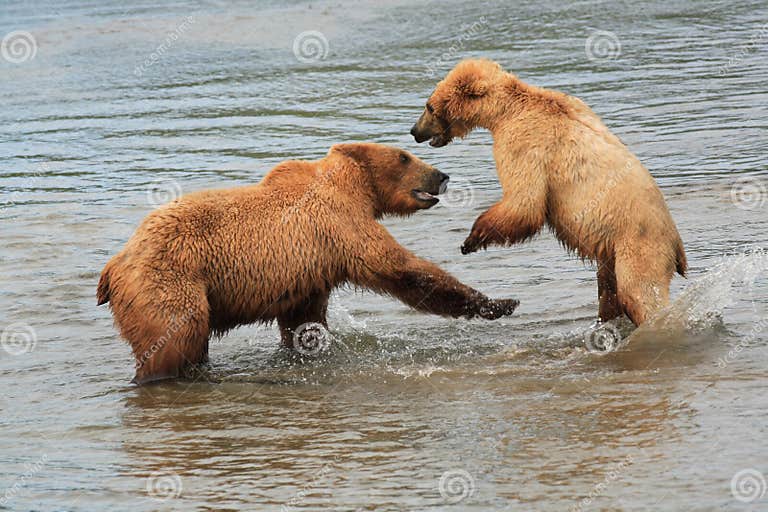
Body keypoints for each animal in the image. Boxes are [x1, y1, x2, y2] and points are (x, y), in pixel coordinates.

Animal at [97, 142, 520, 384]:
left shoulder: (309, 270)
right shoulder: (338, 222)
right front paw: (499, 303)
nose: (442, 175)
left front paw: (308, 348)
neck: (357, 188)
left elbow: (305, 321)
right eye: (405, 156)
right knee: (174, 339)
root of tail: (113, 267)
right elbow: (399, 268)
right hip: (170, 280)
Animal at [410, 59, 687, 326]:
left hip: (638, 243)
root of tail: (677, 247)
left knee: (638, 292)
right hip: (613, 252)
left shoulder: (522, 143)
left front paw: (471, 239)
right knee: (610, 289)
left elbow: (525, 202)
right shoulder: (577, 105)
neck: (504, 112)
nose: (414, 131)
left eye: (429, 107)